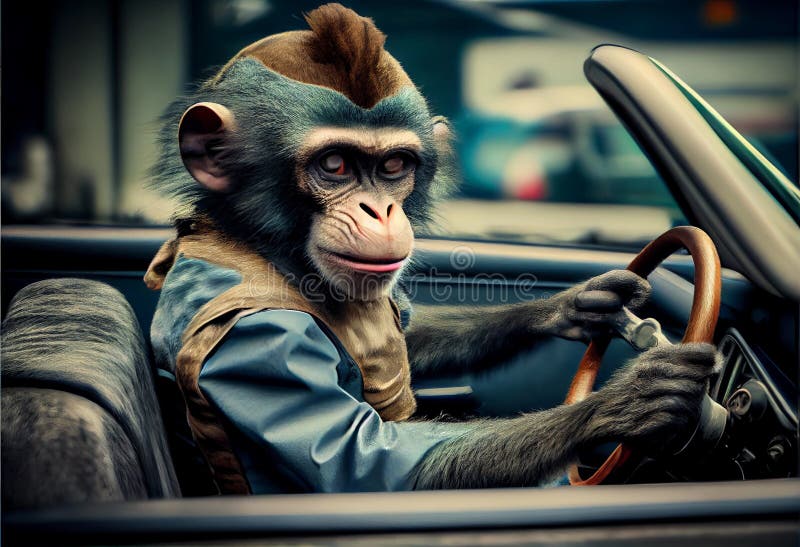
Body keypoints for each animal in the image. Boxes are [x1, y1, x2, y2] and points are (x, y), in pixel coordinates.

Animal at [146, 3, 719, 494]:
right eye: (334, 165)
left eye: (393, 166)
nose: (378, 210)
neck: (263, 249)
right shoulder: (261, 340)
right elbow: (384, 468)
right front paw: (635, 399)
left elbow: (413, 335)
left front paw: (581, 305)